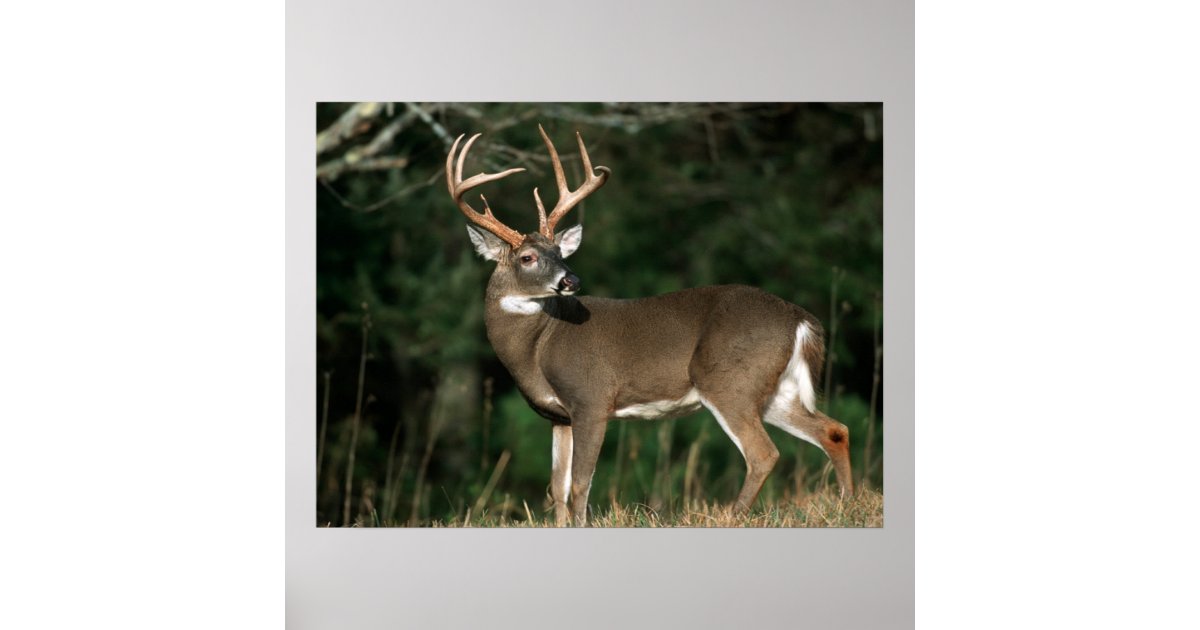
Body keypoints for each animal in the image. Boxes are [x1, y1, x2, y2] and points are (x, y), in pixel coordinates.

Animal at [446, 125, 852, 526]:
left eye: (560, 252)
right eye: (529, 257)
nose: (571, 280)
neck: (538, 347)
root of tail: (800, 319)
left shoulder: (591, 399)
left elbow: (579, 484)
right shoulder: (558, 417)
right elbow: (556, 488)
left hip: (728, 380)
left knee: (764, 453)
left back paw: (734, 517)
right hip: (773, 388)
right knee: (834, 430)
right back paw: (846, 502)